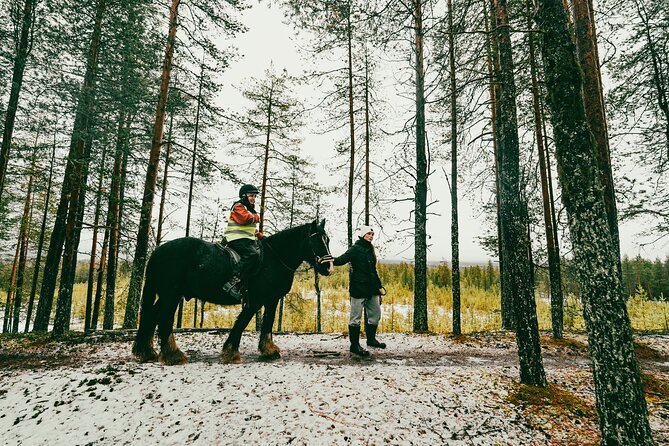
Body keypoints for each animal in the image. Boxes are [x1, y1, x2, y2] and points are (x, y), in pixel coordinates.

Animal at [131, 219, 334, 365]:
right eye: (316, 239)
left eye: (328, 240)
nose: (329, 267)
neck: (274, 258)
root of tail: (157, 252)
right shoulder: (256, 300)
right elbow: (242, 323)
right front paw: (231, 353)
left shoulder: (272, 299)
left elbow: (268, 323)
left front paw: (268, 350)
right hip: (171, 294)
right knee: (164, 318)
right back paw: (173, 355)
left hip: (167, 294)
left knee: (152, 315)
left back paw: (147, 352)